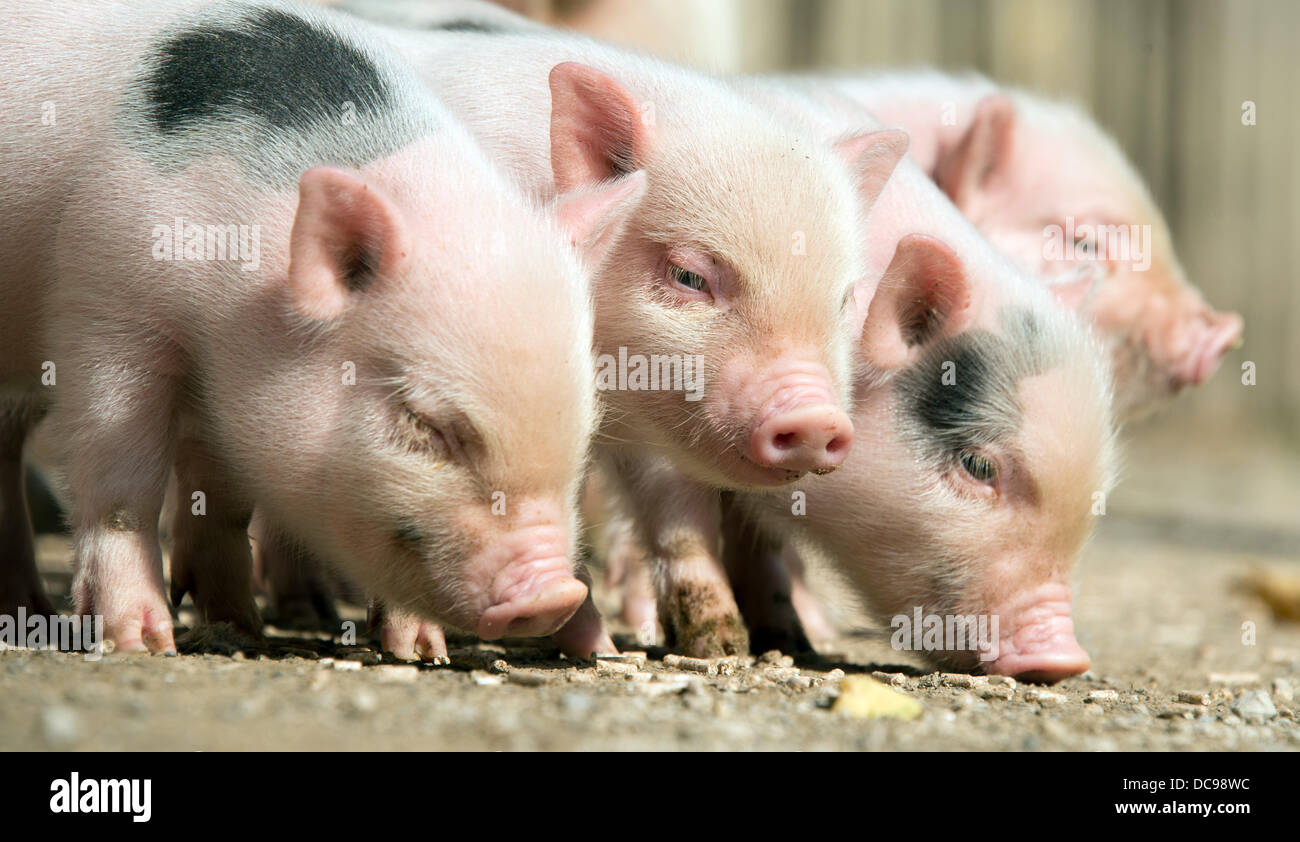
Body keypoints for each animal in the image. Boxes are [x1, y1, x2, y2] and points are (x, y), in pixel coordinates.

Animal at [0, 0, 643, 654]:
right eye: (423, 421)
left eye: (585, 423)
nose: (553, 595)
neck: (228, 312)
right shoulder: (104, 304)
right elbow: (124, 483)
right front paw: (146, 644)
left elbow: (225, 497)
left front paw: (254, 628)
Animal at [202, 6, 909, 659]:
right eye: (689, 275)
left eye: (845, 297)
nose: (817, 418)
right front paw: (423, 650)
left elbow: (677, 518)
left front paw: (696, 648)